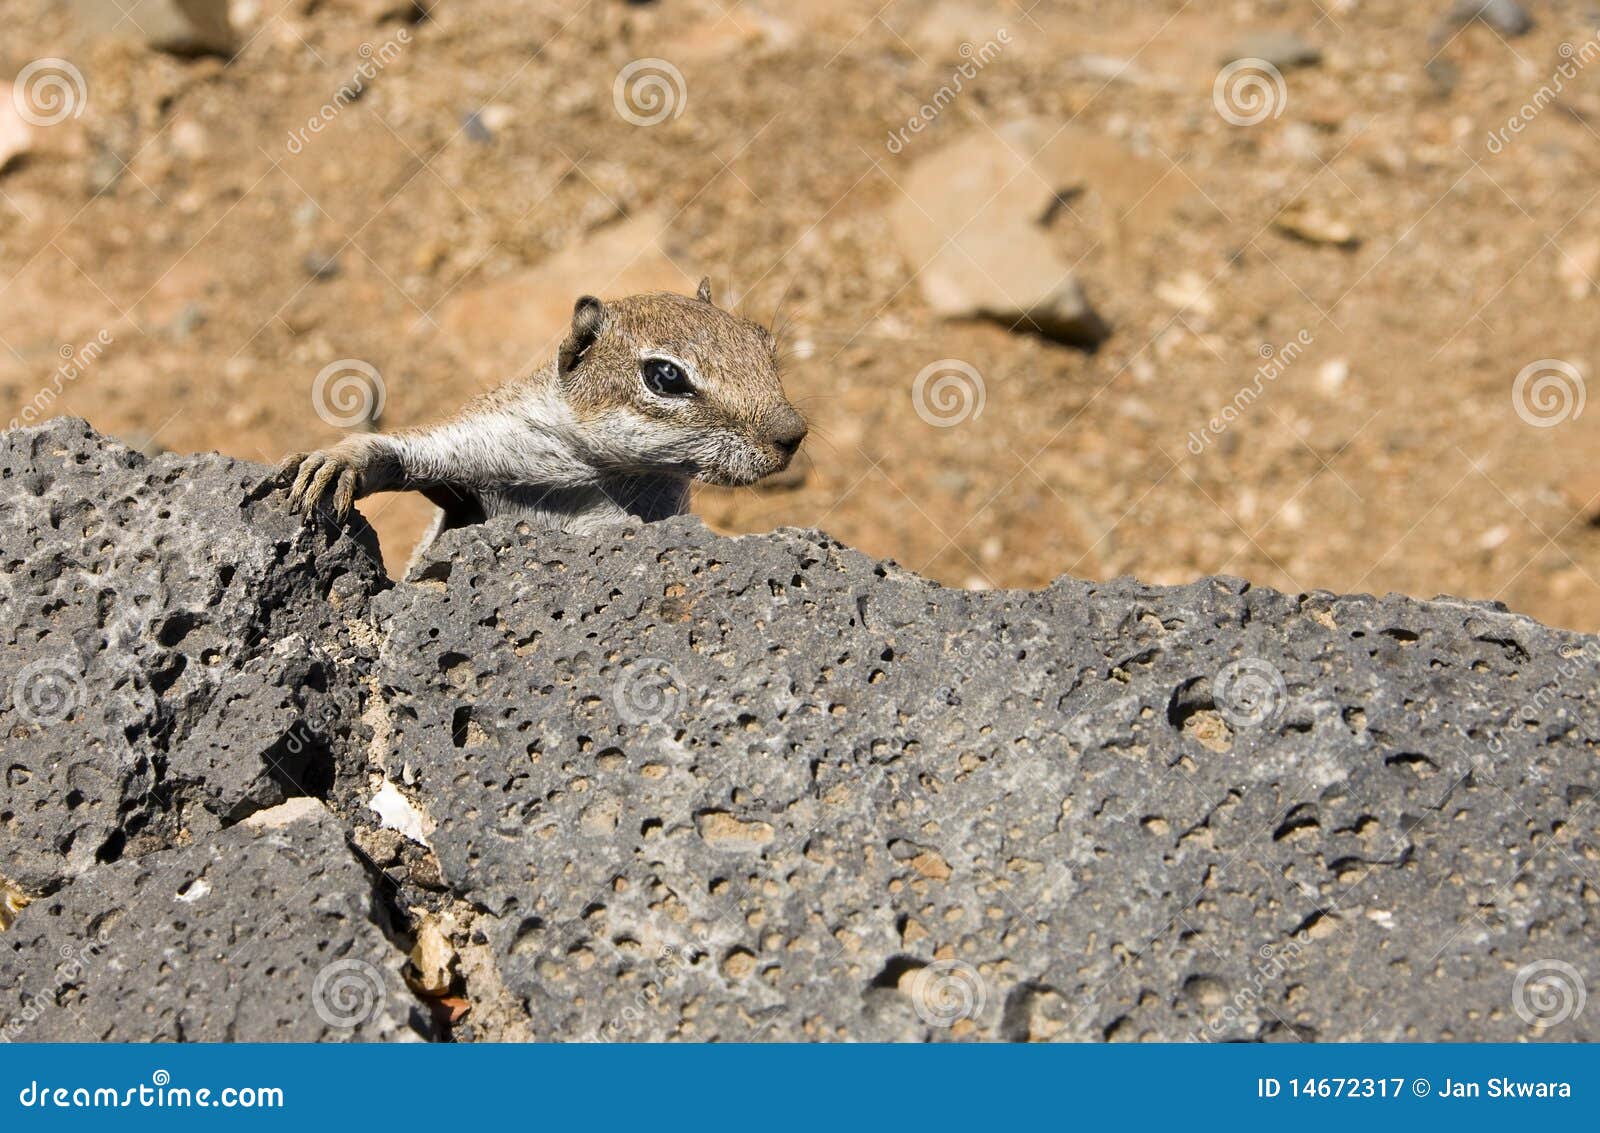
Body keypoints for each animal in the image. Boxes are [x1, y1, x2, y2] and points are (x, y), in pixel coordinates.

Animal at [280, 280, 807, 547]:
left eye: (762, 339)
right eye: (665, 376)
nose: (793, 434)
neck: (597, 474)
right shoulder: (490, 440)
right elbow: (413, 452)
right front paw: (341, 460)